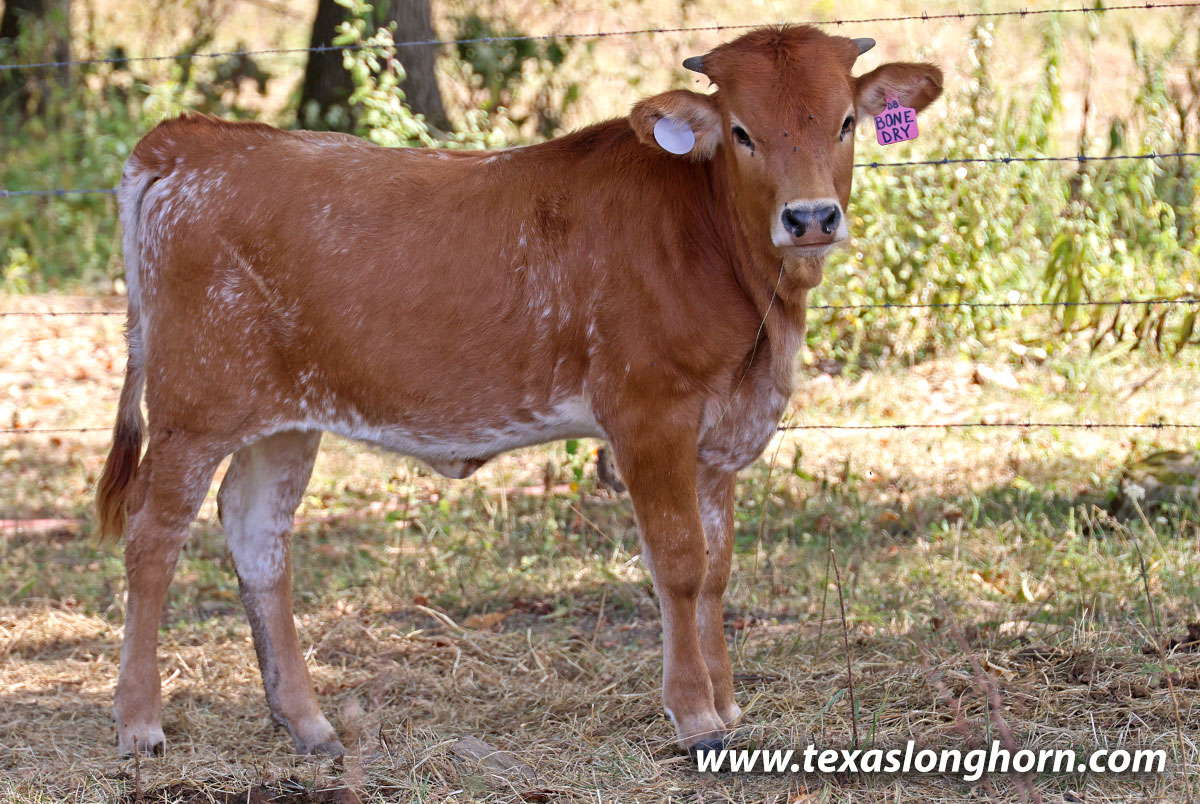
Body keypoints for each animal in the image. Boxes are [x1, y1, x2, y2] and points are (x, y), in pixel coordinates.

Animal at [96, 24, 942, 757]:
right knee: (152, 539)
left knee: (259, 538)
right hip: (193, 410)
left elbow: (717, 569)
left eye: (844, 122)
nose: (811, 217)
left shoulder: (717, 437)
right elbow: (678, 562)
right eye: (742, 132)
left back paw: (307, 722)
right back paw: (139, 723)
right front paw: (696, 714)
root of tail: (200, 138)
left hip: (283, 422)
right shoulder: (650, 414)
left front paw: (728, 702)